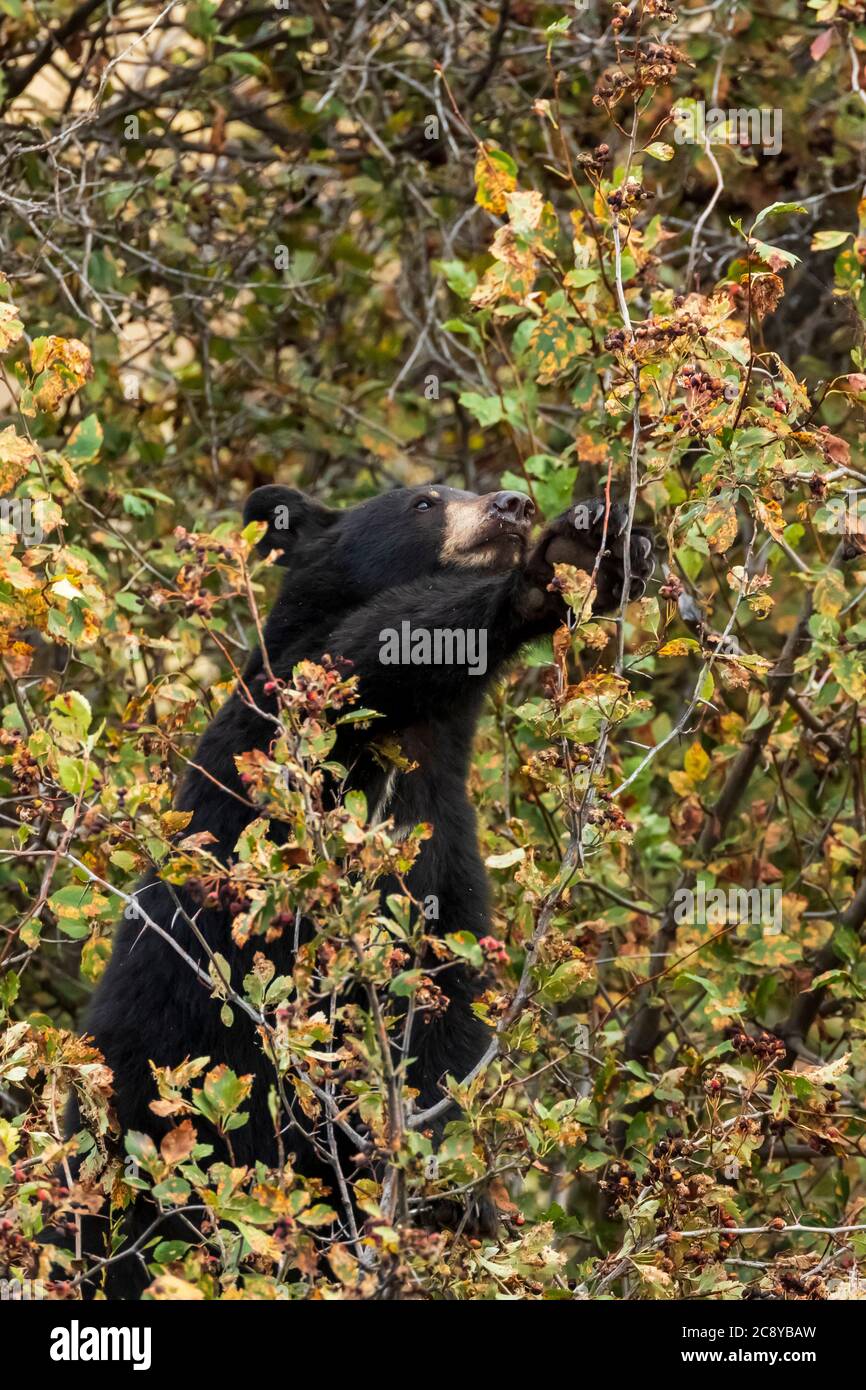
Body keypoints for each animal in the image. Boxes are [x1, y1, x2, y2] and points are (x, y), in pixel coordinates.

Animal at [68, 483, 653, 1295]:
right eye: (425, 501)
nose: (511, 503)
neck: (417, 742)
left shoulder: (445, 865)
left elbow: (443, 1019)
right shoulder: (278, 769)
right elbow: (356, 655)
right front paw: (553, 566)